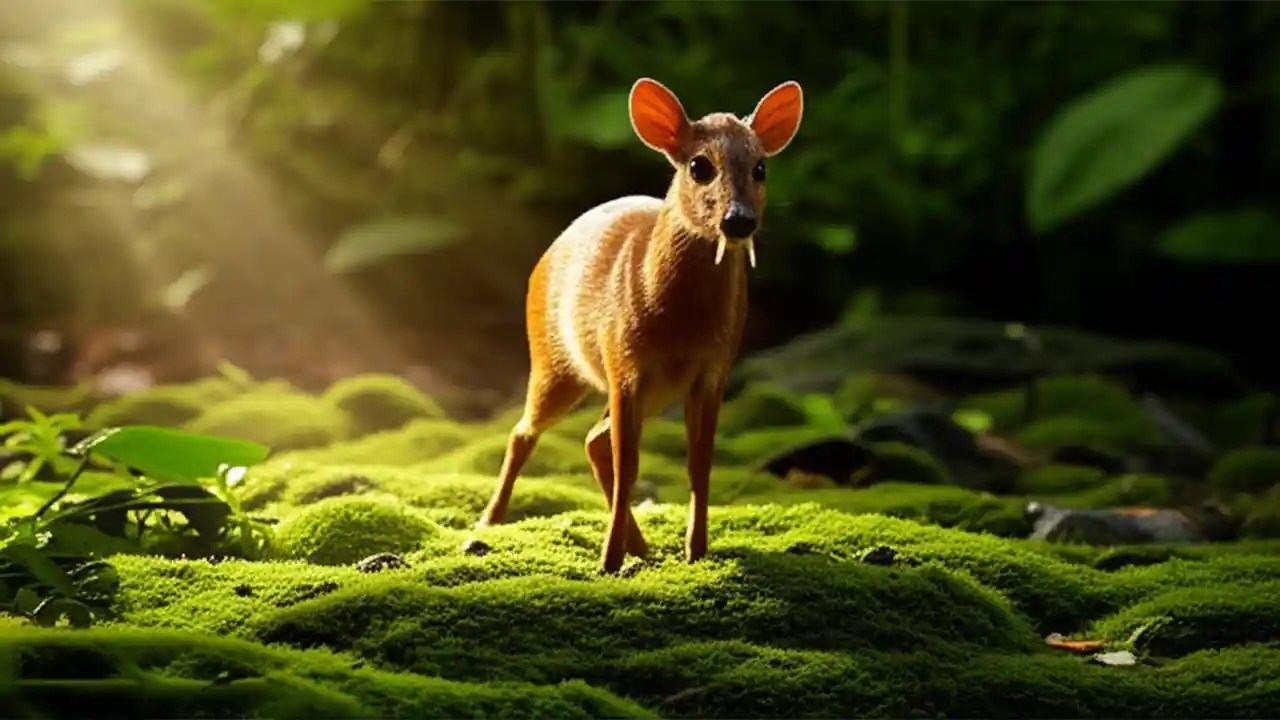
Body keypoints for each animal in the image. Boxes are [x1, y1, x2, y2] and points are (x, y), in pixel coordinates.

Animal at [475, 77, 804, 573]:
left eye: (761, 168)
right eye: (699, 166)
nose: (739, 220)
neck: (680, 325)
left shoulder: (713, 370)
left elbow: (699, 462)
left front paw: (696, 553)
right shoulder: (625, 365)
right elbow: (628, 463)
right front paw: (608, 563)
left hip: (651, 389)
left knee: (592, 439)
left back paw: (643, 547)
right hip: (553, 360)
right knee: (524, 432)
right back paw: (489, 522)